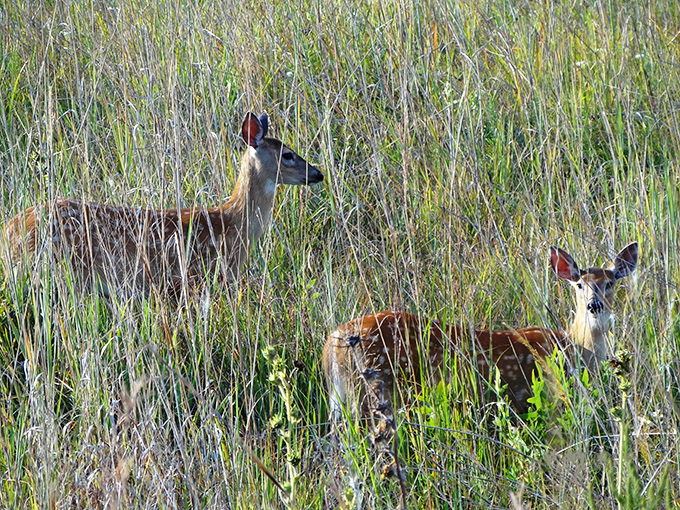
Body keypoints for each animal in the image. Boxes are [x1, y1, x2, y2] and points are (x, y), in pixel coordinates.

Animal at [322, 243, 638, 427]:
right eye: (579, 285)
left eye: (610, 282)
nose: (594, 305)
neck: (574, 347)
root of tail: (330, 346)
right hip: (373, 392)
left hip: (344, 400)